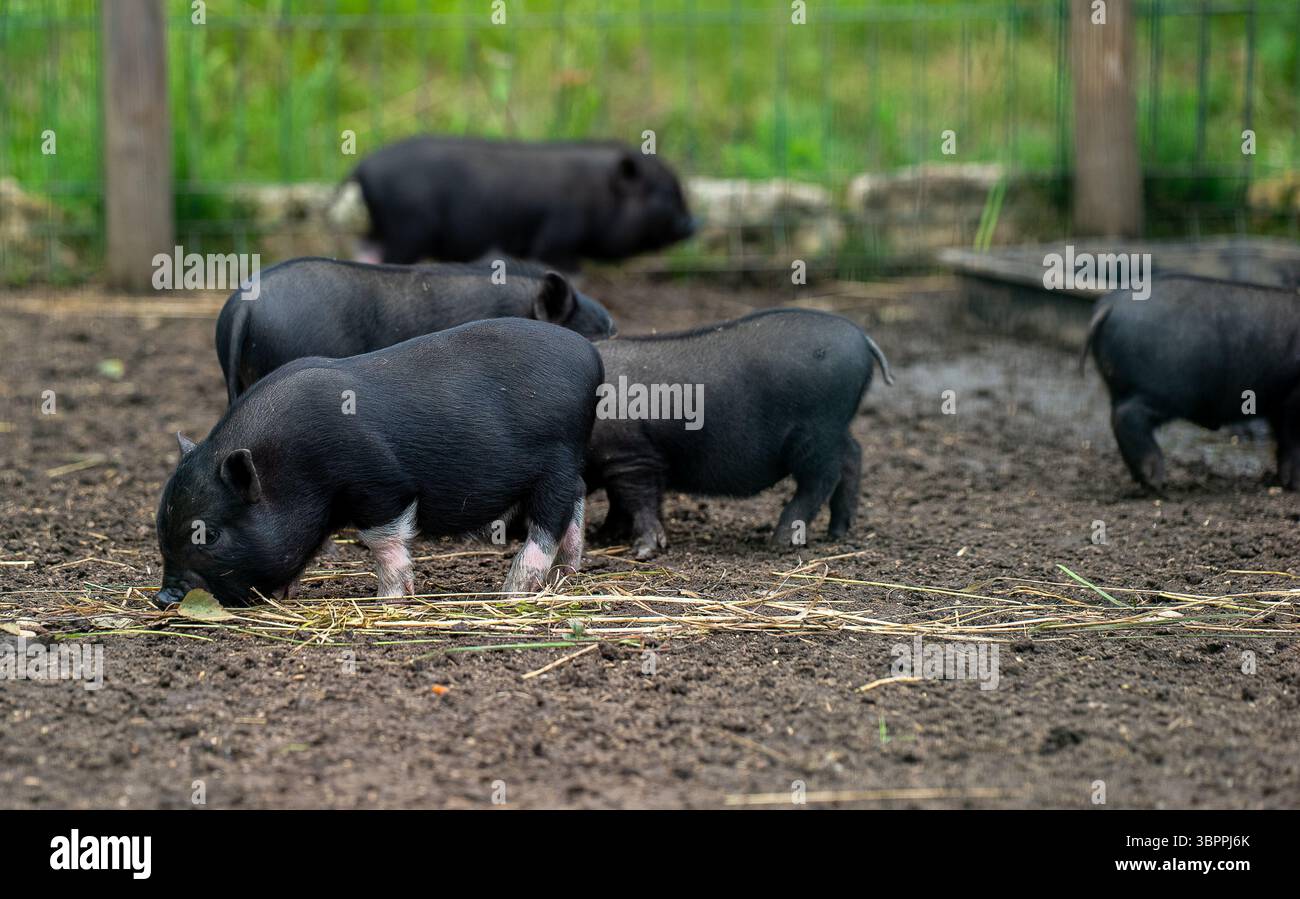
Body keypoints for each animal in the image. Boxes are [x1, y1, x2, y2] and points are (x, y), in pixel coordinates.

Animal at [155, 318, 602, 607]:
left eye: (209, 535)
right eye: (161, 527)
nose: (163, 596)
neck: (291, 467)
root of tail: (591, 357)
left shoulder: (382, 486)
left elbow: (382, 542)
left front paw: (389, 600)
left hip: (555, 462)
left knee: (551, 520)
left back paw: (512, 591)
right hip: (566, 466)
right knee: (577, 503)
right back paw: (566, 575)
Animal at [347, 136, 695, 269]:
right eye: (666, 194)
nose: (693, 222)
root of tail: (362, 165)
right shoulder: (557, 238)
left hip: (384, 226)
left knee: (364, 245)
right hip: (407, 229)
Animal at [585, 309, 894, 559]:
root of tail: (862, 337)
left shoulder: (631, 458)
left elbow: (639, 503)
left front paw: (643, 551)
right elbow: (619, 504)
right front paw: (602, 536)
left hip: (817, 432)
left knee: (822, 478)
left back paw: (780, 541)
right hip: (836, 428)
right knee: (852, 456)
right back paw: (838, 533)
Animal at [1081, 274, 1300, 491]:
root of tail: (1109, 304)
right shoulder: (1292, 398)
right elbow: (1292, 440)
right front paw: (1293, 485)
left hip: (1123, 387)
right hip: (1160, 391)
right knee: (1126, 416)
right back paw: (1157, 482)